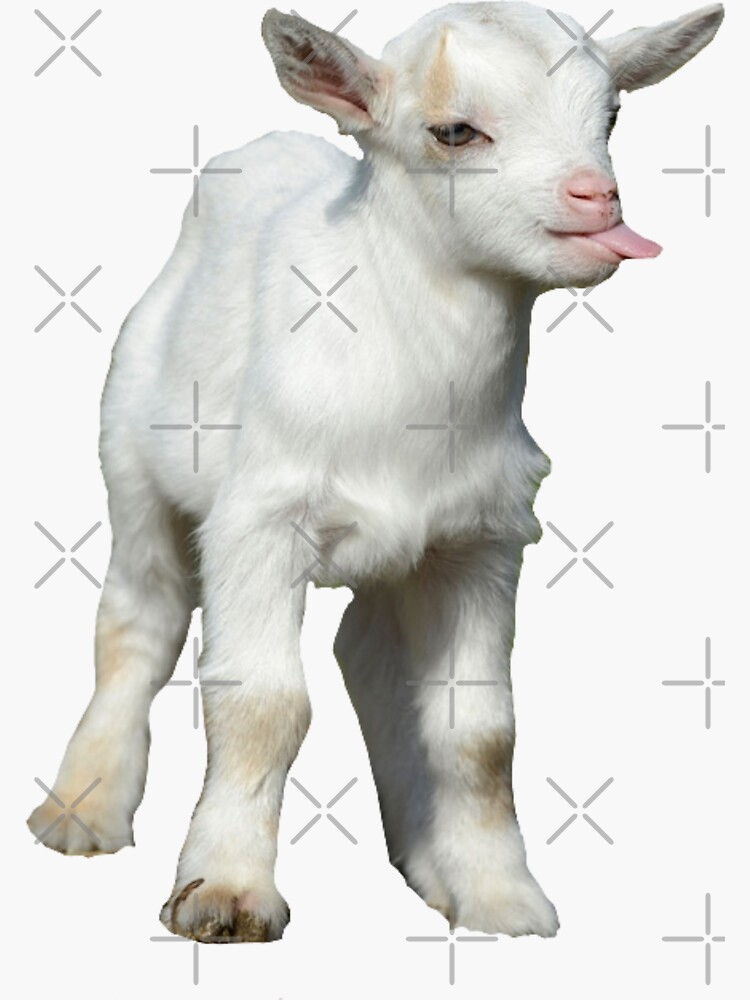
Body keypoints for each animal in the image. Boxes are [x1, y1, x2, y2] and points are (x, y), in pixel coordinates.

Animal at [29, 1, 724, 941]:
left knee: (366, 650)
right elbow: (262, 702)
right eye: (455, 131)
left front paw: (500, 896)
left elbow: (480, 728)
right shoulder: (260, 519)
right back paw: (83, 809)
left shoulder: (482, 540)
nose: (597, 198)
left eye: (611, 116)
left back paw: (425, 863)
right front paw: (225, 893)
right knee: (139, 617)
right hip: (132, 461)